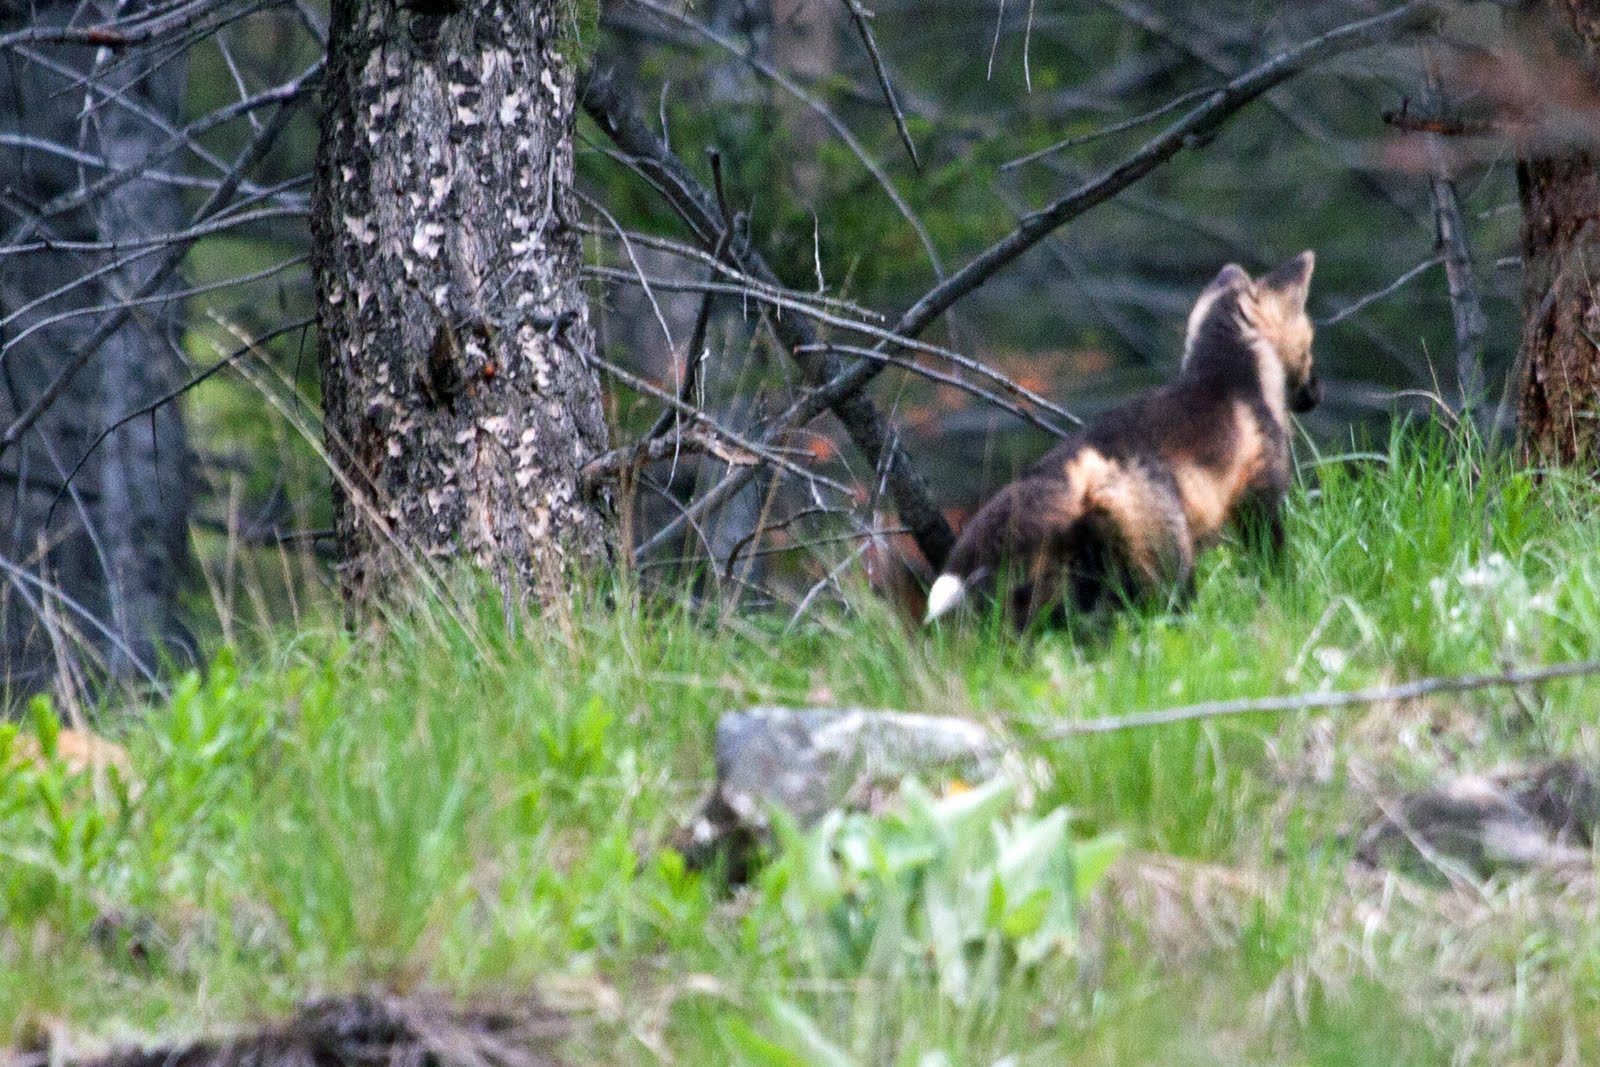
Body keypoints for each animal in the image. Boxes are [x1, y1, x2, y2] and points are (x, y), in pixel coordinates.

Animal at [924, 250, 1321, 628]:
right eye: (1311, 344)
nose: (1318, 393)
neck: (1229, 380)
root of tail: (1067, 465)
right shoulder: (1259, 496)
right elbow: (1273, 566)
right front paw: (1286, 598)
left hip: (1075, 577)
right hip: (1167, 562)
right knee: (1166, 615)